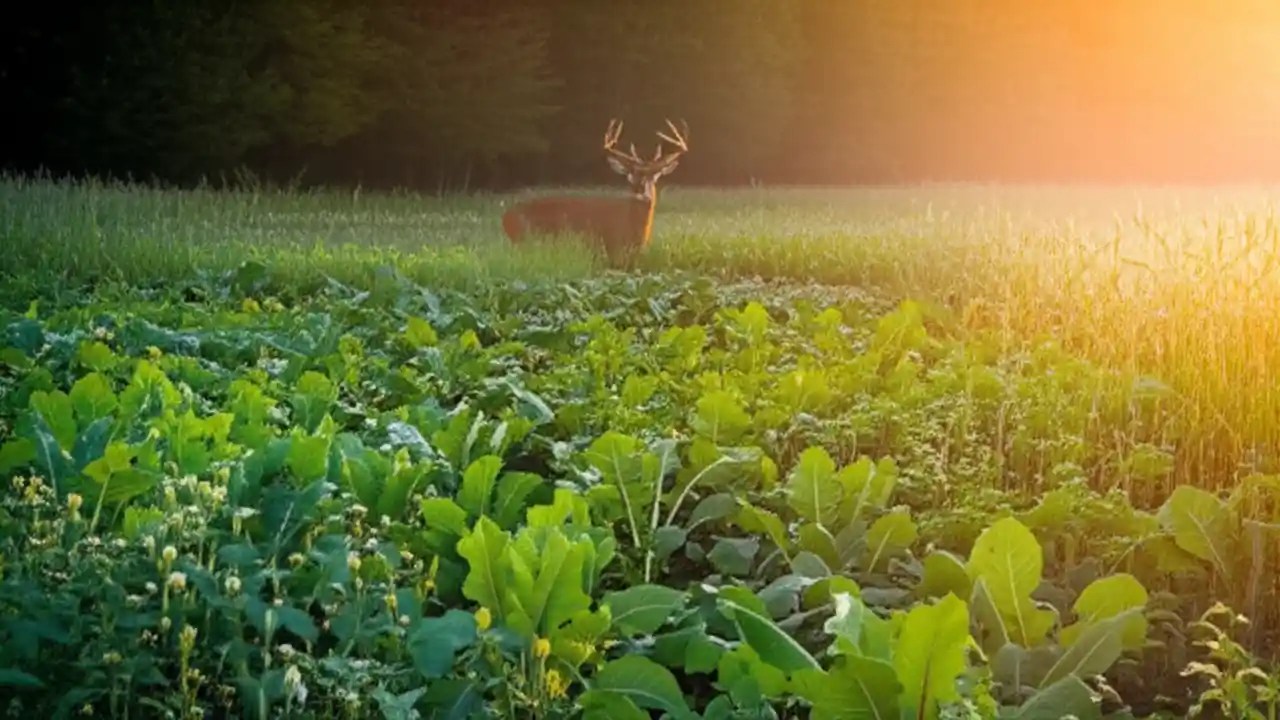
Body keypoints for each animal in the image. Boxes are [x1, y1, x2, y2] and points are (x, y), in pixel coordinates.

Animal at [501, 118, 689, 266]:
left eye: (653, 176)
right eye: (630, 175)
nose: (640, 190)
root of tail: (506, 217)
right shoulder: (611, 247)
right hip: (527, 240)